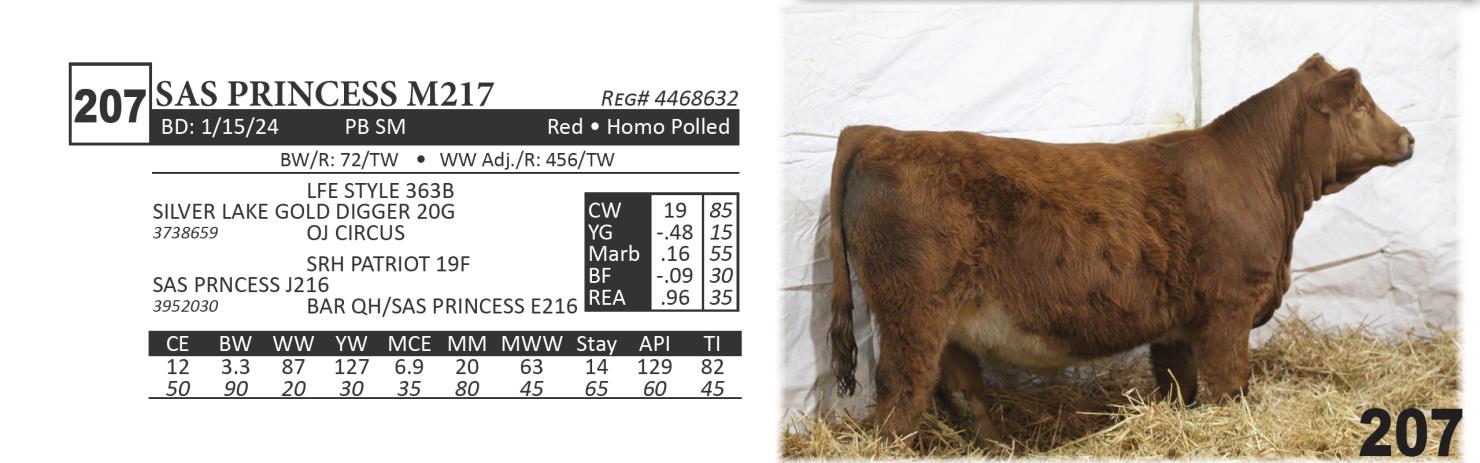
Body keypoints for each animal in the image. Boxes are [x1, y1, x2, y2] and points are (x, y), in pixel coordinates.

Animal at [827, 54, 1415, 444]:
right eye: (1361, 103)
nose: (1408, 137)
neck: (1263, 179)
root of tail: (877, 133)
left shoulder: (1179, 326)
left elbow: (1181, 388)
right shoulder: (1228, 311)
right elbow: (1229, 387)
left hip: (946, 320)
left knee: (964, 392)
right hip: (911, 314)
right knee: (900, 401)